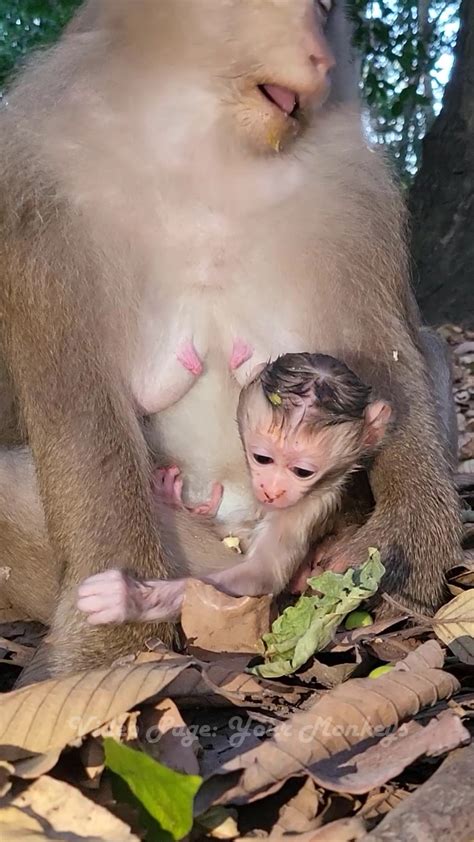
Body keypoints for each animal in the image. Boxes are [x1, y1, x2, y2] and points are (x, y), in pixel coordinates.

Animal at [76, 353, 392, 624]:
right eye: (262, 458)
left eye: (302, 472)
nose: (271, 489)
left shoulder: (309, 506)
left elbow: (259, 575)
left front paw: (131, 599)